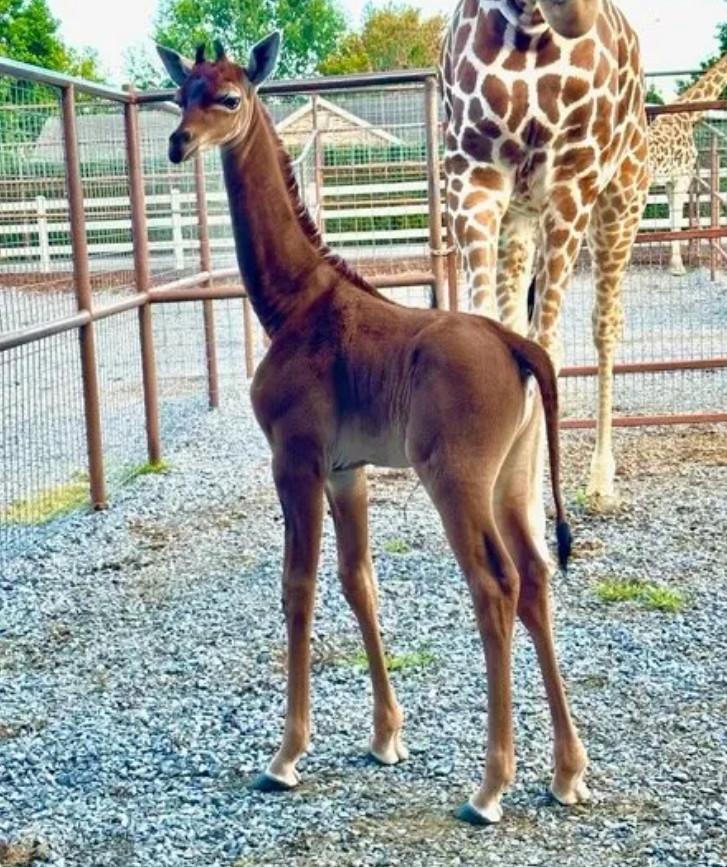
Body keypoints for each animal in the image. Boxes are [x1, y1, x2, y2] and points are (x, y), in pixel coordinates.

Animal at [158, 32, 589, 827]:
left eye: (228, 97)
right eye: (182, 93)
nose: (179, 142)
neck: (292, 303)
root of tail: (519, 347)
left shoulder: (294, 460)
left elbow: (297, 586)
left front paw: (286, 756)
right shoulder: (345, 470)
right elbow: (359, 580)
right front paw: (386, 736)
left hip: (457, 480)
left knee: (495, 585)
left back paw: (489, 789)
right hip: (513, 480)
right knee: (538, 577)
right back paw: (567, 772)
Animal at [441, 0, 650, 510]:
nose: (576, 11)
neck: (530, 28)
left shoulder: (572, 181)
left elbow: (548, 349)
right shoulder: (472, 176)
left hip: (621, 201)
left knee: (605, 326)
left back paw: (601, 480)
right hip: (519, 220)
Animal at [648, 51, 727, 276]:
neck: (688, 114)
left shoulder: (669, 180)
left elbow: (673, 217)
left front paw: (674, 264)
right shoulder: (683, 176)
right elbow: (676, 219)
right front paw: (677, 266)